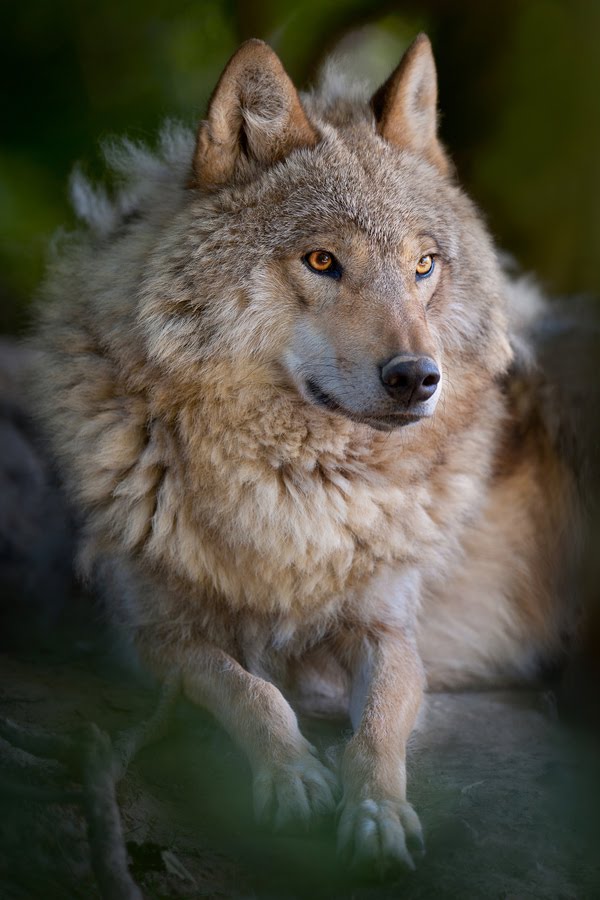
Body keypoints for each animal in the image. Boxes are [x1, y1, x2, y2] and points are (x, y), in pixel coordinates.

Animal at [32, 34, 578, 873]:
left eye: (423, 266)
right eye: (322, 261)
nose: (417, 377)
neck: (297, 488)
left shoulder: (389, 628)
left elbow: (380, 722)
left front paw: (377, 812)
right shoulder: (153, 634)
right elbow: (250, 690)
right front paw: (290, 775)